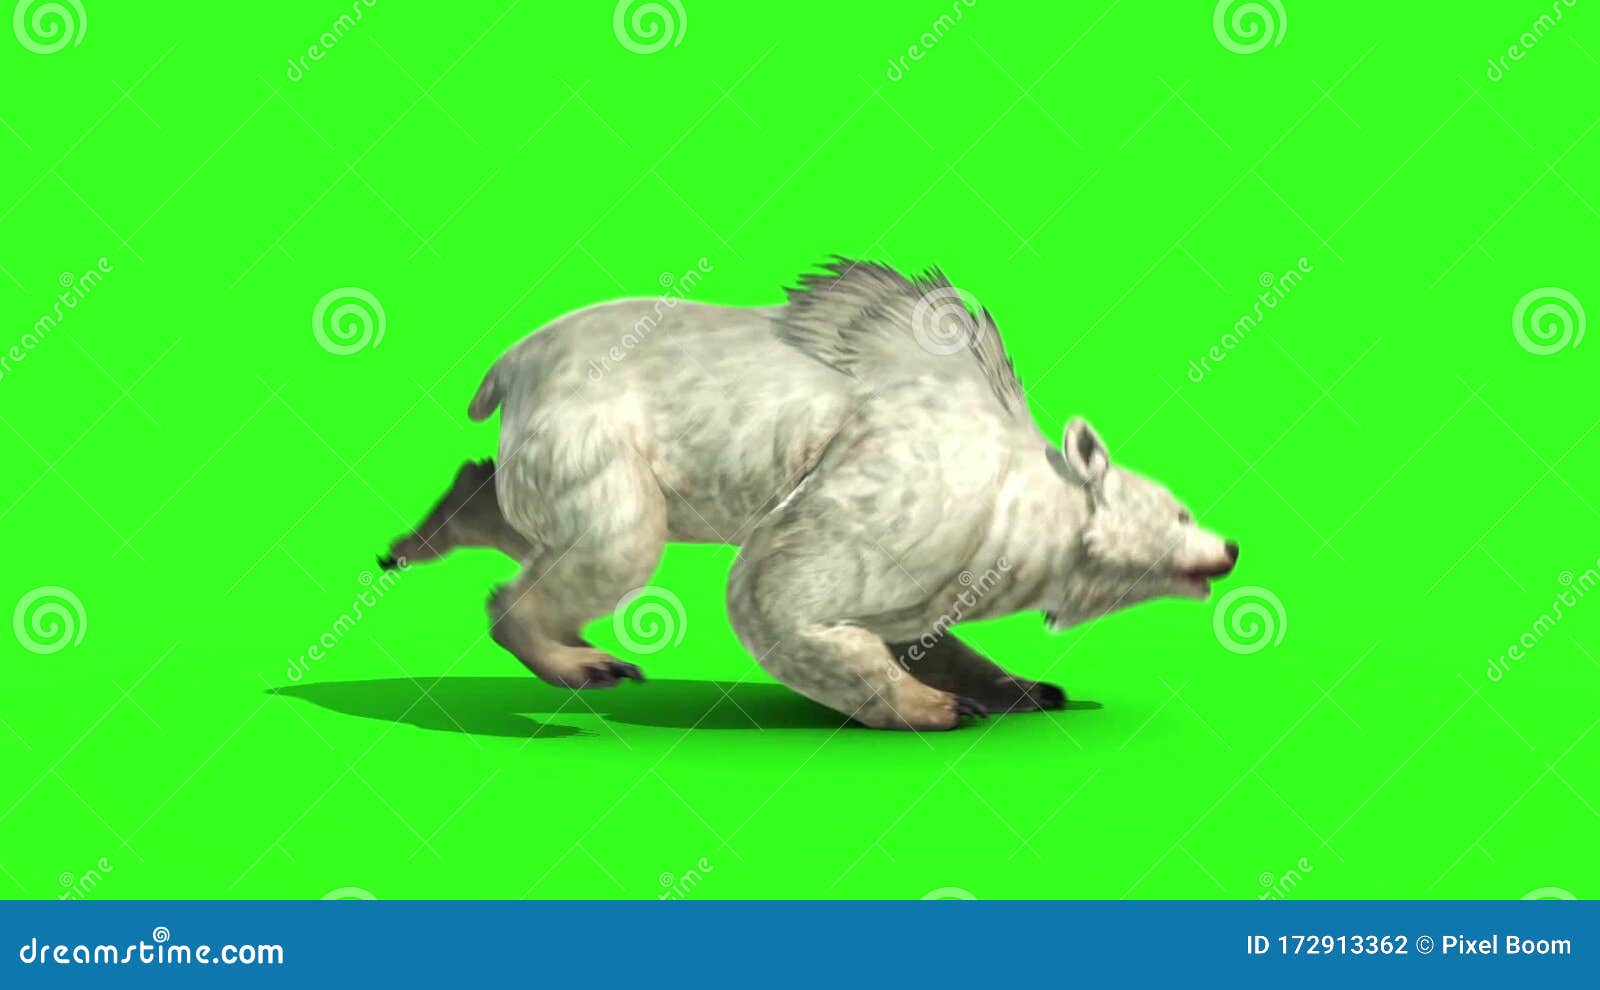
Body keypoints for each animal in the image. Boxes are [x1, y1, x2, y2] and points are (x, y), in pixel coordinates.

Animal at [382, 259, 1239, 730]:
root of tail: (509, 366)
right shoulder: (906, 493)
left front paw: (1023, 686)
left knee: (529, 517)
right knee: (615, 540)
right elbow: (775, 586)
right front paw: (930, 709)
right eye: (1181, 509)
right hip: (597, 428)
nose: (1231, 546)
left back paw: (429, 531)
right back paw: (579, 660)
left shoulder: (950, 558)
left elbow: (921, 630)